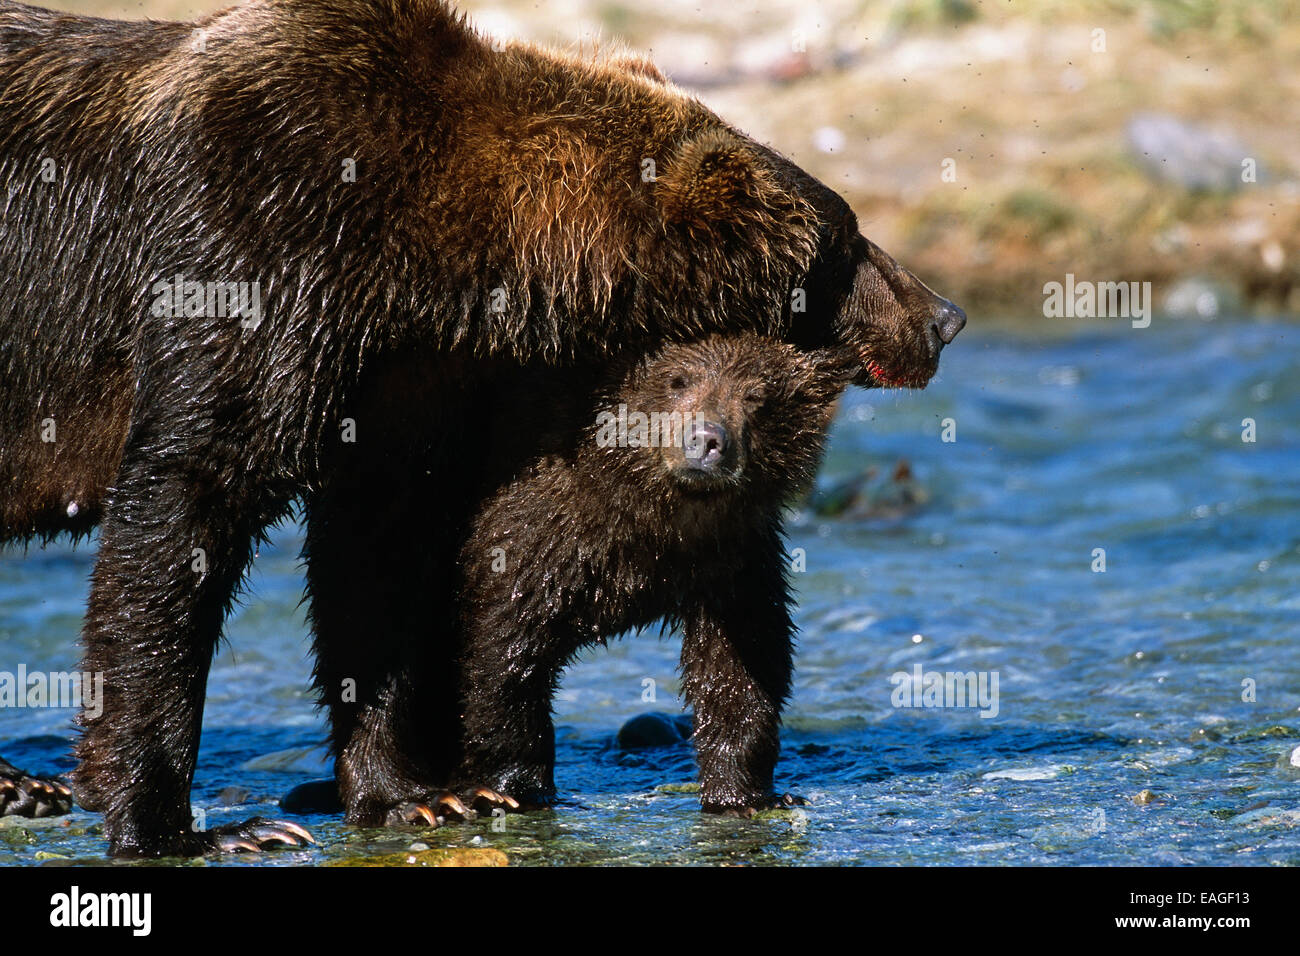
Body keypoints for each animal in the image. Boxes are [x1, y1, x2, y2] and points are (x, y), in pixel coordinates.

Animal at [441, 334, 858, 818]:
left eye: (757, 396)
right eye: (677, 379)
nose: (706, 441)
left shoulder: (733, 560)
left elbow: (743, 662)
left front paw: (746, 793)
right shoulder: (532, 532)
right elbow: (504, 651)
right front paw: (508, 787)